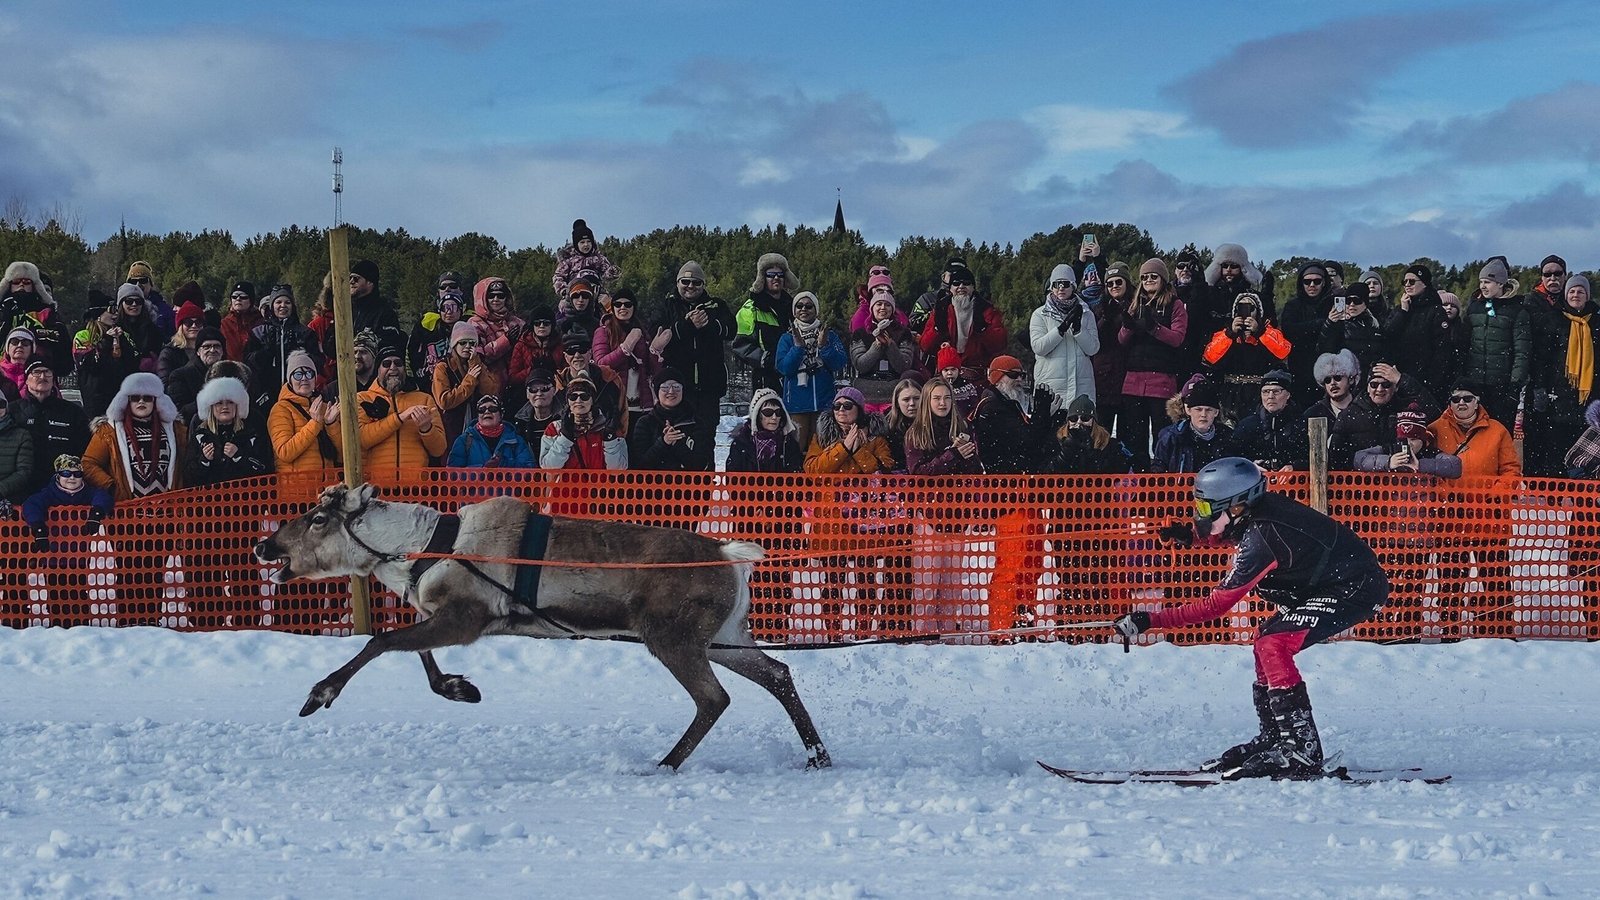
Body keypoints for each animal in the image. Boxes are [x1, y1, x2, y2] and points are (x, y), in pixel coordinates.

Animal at [254, 483, 831, 771]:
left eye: (317, 519)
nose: (263, 545)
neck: (420, 546)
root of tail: (732, 557)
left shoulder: (467, 618)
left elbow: (381, 640)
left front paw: (320, 693)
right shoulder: (442, 616)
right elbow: (416, 652)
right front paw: (460, 687)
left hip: (672, 639)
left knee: (715, 698)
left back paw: (666, 764)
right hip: (724, 637)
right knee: (778, 673)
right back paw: (817, 756)